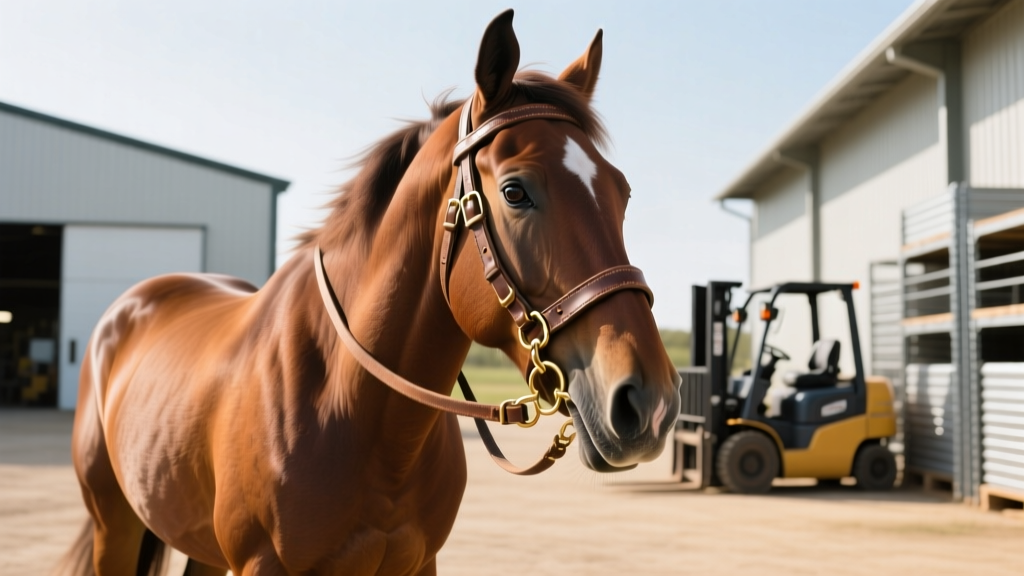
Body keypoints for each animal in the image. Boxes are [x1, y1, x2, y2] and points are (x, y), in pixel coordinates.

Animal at [60, 10, 680, 575]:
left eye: (622, 192)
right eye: (514, 191)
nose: (648, 402)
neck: (356, 410)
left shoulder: (419, 562)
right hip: (113, 524)